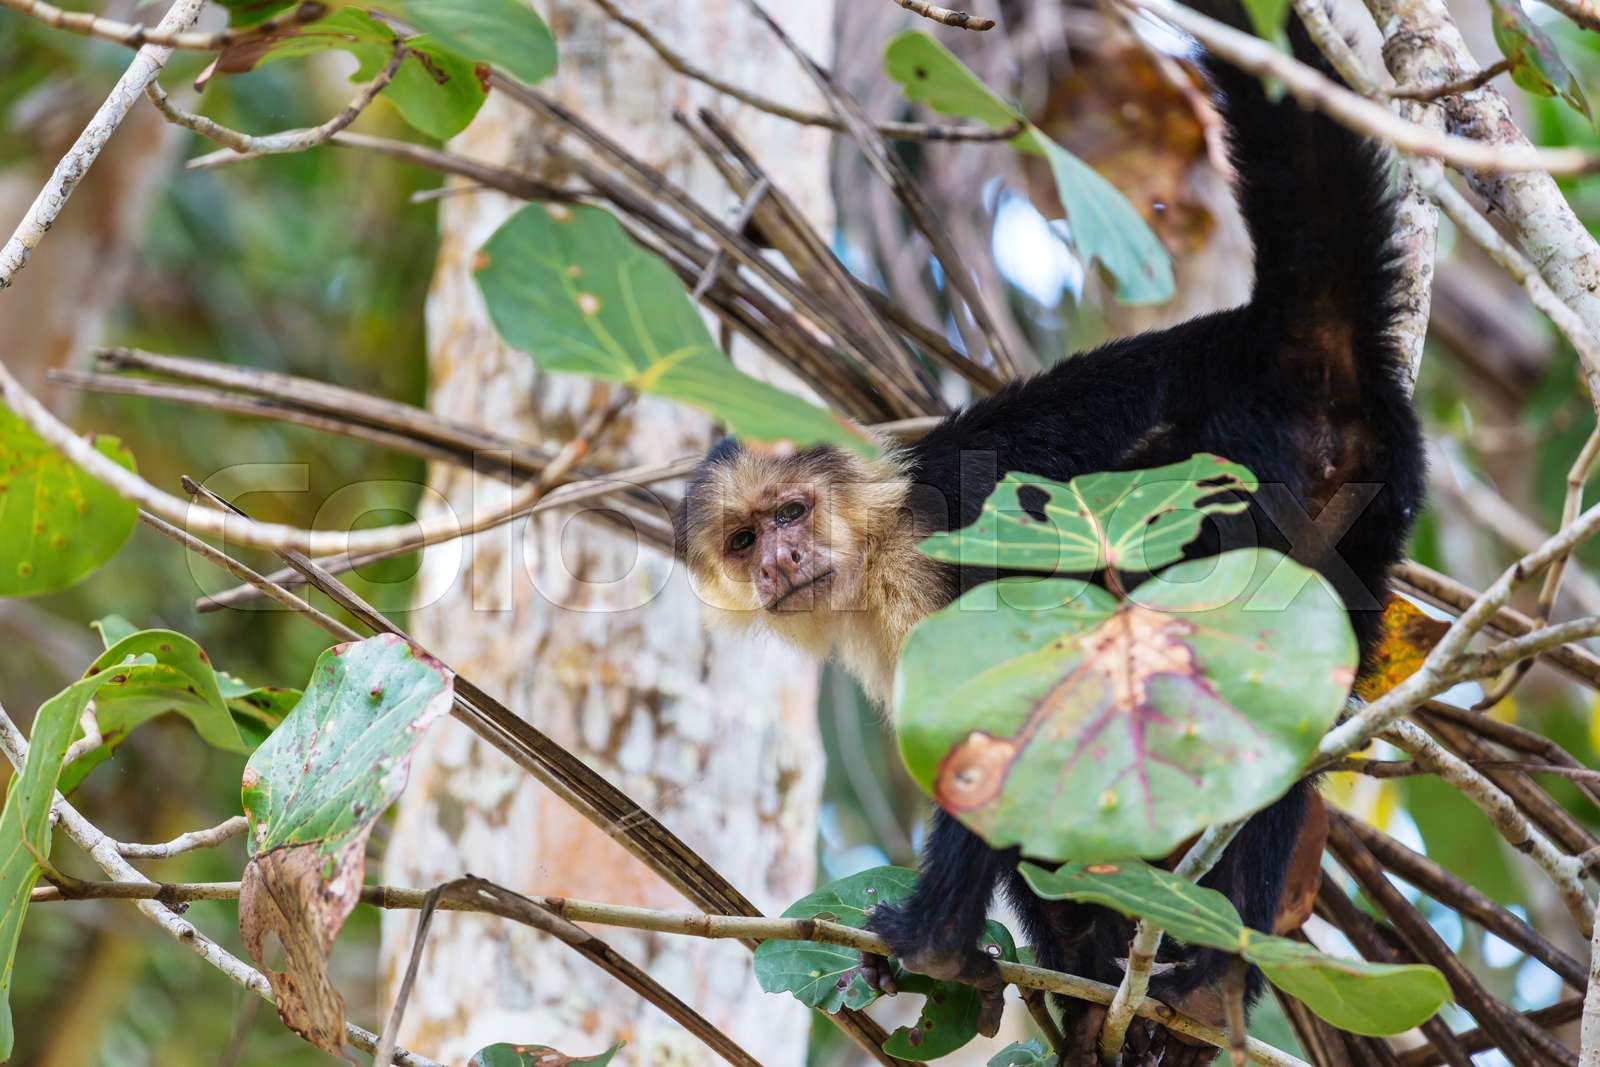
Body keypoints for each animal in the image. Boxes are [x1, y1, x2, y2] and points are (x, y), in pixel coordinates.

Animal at [673, 0, 1423, 1061]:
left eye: (791, 512)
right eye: (743, 541)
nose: (779, 556)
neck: (873, 548)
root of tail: (1272, 344)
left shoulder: (922, 561)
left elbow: (1003, 715)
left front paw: (939, 948)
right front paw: (1078, 981)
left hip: (1227, 471)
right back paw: (1216, 973)